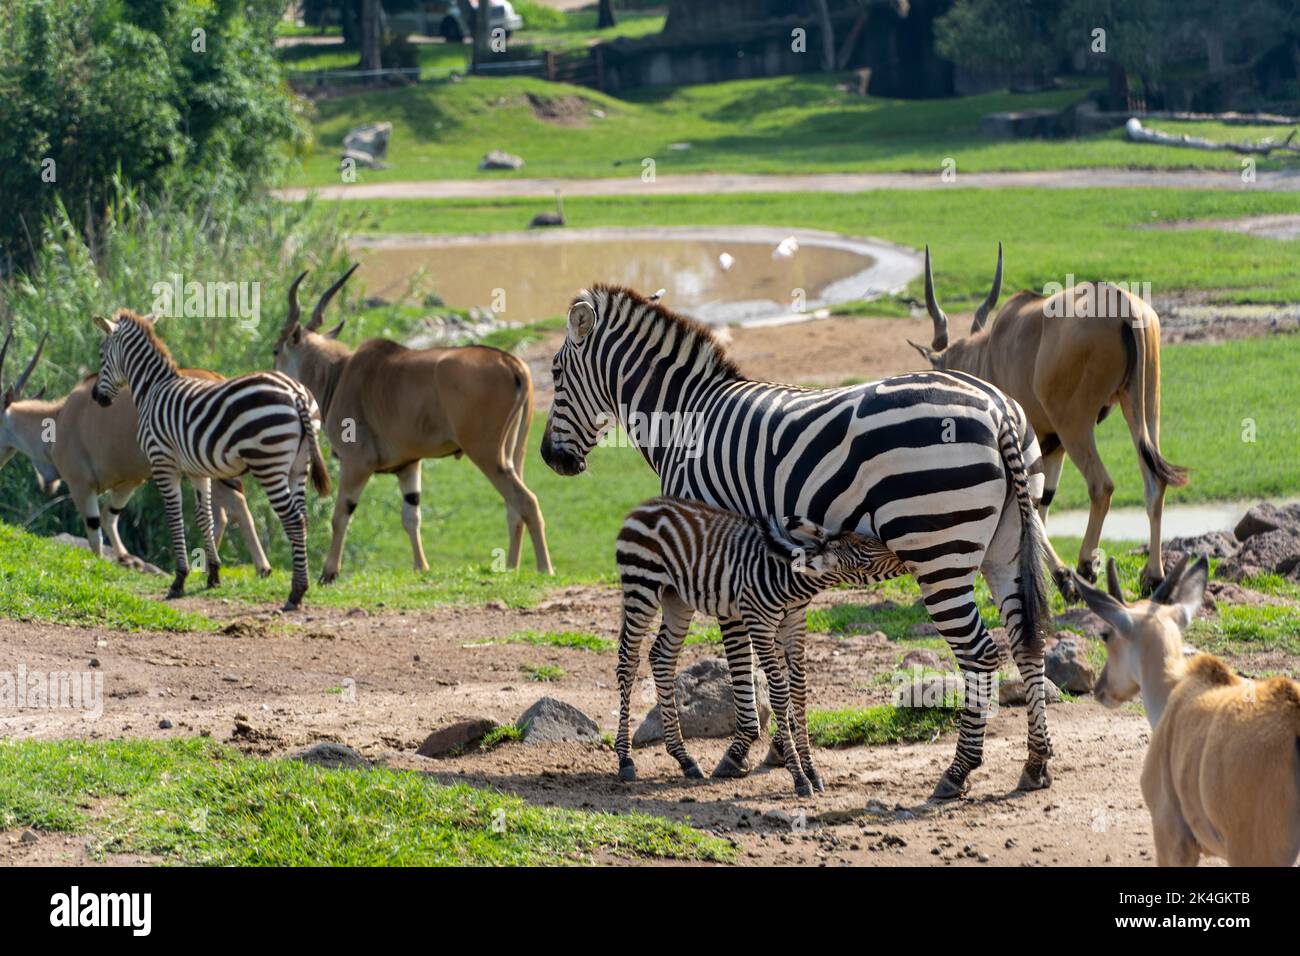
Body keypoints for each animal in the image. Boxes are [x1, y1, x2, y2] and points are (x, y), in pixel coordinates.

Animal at [0, 327, 270, 572]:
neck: (59, 418)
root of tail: (220, 379)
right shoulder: (129, 481)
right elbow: (109, 515)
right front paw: (125, 558)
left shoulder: (81, 485)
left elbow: (95, 534)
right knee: (222, 512)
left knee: (236, 505)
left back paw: (261, 567)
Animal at [91, 310, 331, 610]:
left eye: (101, 355)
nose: (95, 397)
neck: (153, 389)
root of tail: (295, 391)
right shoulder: (198, 471)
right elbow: (204, 517)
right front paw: (213, 576)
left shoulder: (163, 463)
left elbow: (175, 517)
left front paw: (179, 580)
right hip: (299, 466)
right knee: (304, 518)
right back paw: (302, 586)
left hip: (269, 463)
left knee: (294, 519)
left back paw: (296, 593)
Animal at [271, 267, 553, 581]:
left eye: (275, 350)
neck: (339, 374)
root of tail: (512, 362)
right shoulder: (408, 466)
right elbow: (411, 517)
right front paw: (421, 567)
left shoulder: (356, 463)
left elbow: (340, 515)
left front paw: (329, 573)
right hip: (513, 454)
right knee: (514, 508)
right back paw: (512, 568)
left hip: (487, 455)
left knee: (527, 502)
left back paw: (545, 568)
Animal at [616, 496, 906, 796]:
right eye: (864, 550)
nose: (904, 555)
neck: (789, 580)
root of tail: (646, 505)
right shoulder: (760, 625)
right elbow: (779, 693)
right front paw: (799, 777)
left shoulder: (794, 623)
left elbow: (799, 691)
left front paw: (811, 770)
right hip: (642, 587)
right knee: (628, 659)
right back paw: (625, 759)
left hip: (676, 598)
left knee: (662, 656)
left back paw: (684, 759)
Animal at [912, 245, 1188, 597]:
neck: (989, 351)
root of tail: (1122, 305)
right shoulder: (1052, 447)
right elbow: (1044, 501)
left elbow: (1029, 503)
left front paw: (1062, 577)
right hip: (1143, 408)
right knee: (1154, 481)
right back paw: (1152, 577)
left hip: (1076, 425)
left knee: (1102, 485)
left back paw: (1086, 567)